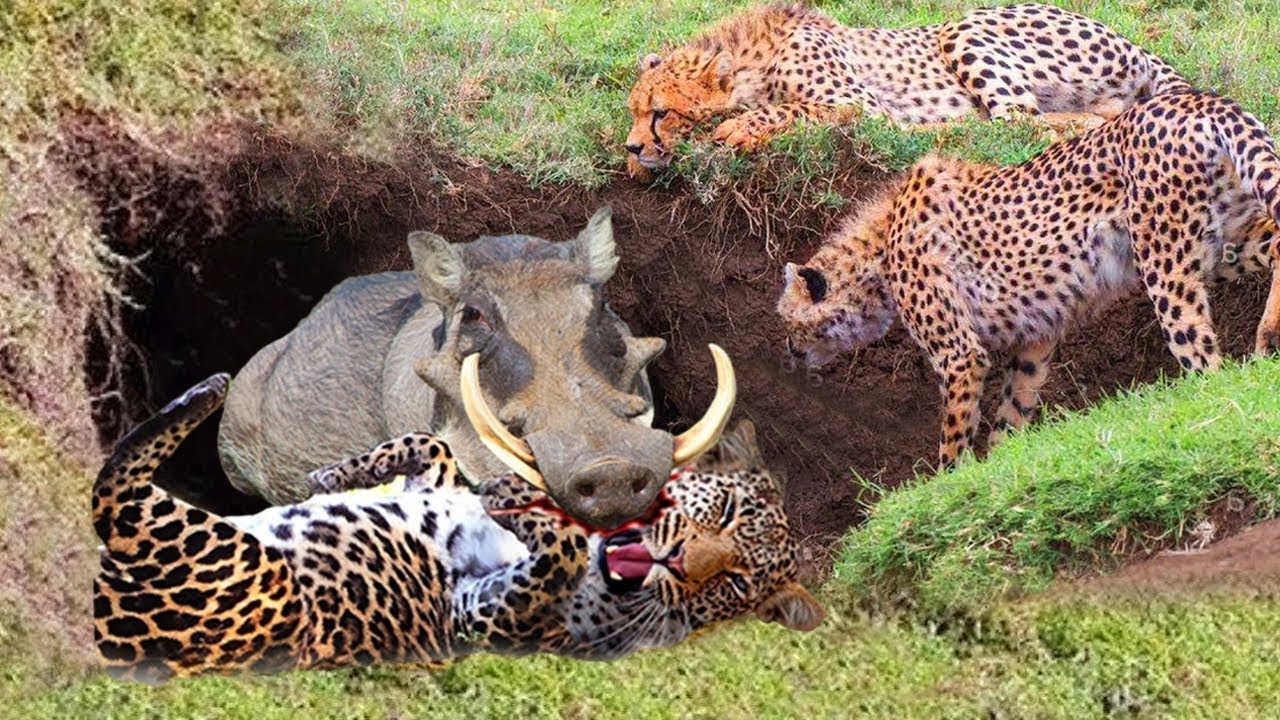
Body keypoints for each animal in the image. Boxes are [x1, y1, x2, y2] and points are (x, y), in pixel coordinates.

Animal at [93, 374, 824, 683]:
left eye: (732, 585)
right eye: (724, 514)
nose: (679, 561)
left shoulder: (484, 615)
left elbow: (549, 550)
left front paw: (516, 493)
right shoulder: (441, 480)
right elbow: (430, 446)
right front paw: (342, 471)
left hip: (233, 567)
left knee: (112, 496)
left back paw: (203, 393)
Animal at [624, 3, 1191, 181]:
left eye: (661, 113)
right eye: (632, 113)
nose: (631, 146)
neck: (753, 61)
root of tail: (1133, 42)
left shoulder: (861, 105)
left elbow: (798, 109)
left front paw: (741, 127)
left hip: (964, 28)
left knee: (1021, 120)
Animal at [777, 91, 1280, 468]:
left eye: (788, 320)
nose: (791, 352)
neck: (877, 248)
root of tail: (1195, 98)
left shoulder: (959, 355)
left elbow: (955, 432)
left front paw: (950, 484)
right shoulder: (1035, 337)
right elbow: (1012, 409)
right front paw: (1000, 468)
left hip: (1165, 263)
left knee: (1202, 355)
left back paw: (1214, 394)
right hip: (1224, 244)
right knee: (1275, 243)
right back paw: (1268, 334)